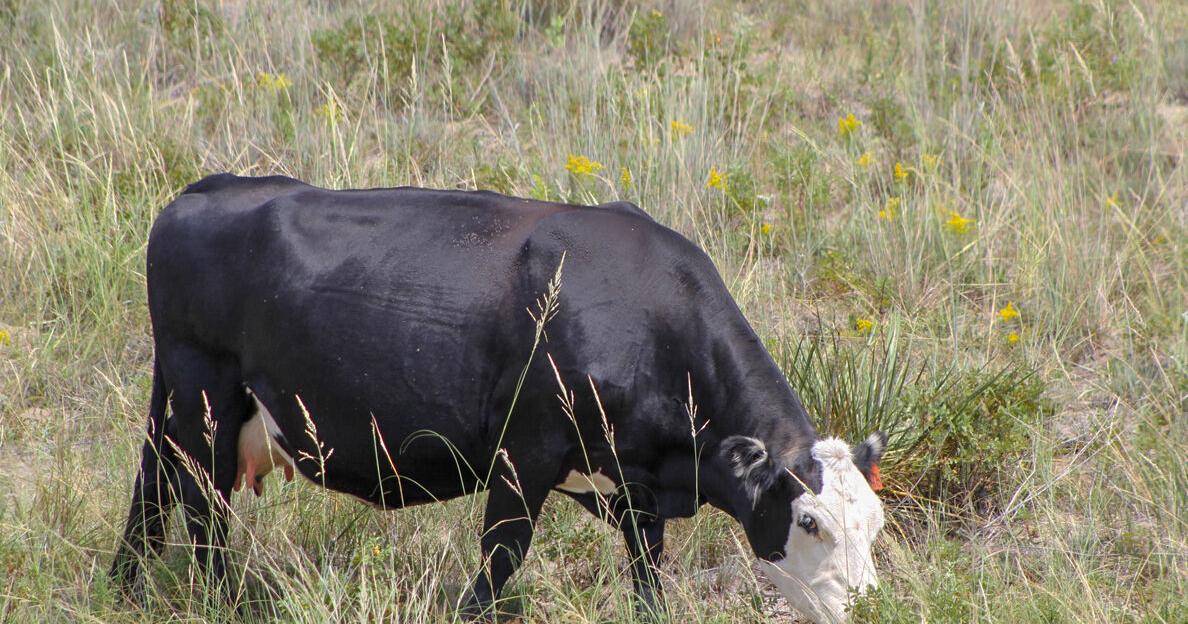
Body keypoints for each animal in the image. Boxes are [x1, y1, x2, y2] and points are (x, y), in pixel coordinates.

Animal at [110, 173, 888, 622]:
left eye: (877, 525)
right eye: (810, 522)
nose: (869, 607)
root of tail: (208, 189)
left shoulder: (633, 485)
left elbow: (648, 582)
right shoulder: (525, 455)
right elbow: (496, 572)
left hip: (179, 404)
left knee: (151, 491)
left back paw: (124, 592)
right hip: (204, 398)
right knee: (203, 512)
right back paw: (227, 604)